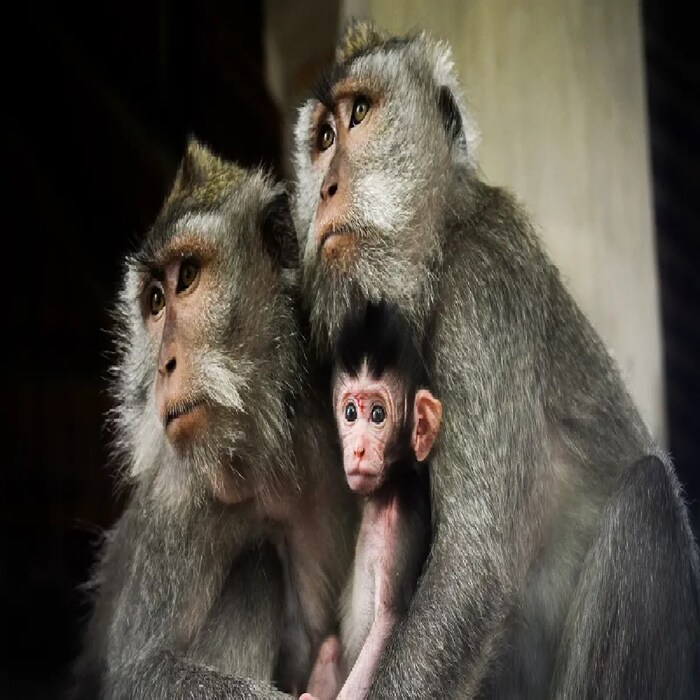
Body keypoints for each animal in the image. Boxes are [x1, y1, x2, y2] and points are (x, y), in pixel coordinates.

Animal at [73, 140, 355, 699]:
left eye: (186, 277)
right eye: (154, 302)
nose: (163, 365)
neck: (268, 455)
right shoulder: (175, 502)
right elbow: (142, 676)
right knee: (258, 569)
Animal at [302, 301, 442, 700]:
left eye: (378, 414)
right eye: (351, 413)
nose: (359, 450)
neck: (390, 487)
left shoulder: (400, 522)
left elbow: (386, 627)